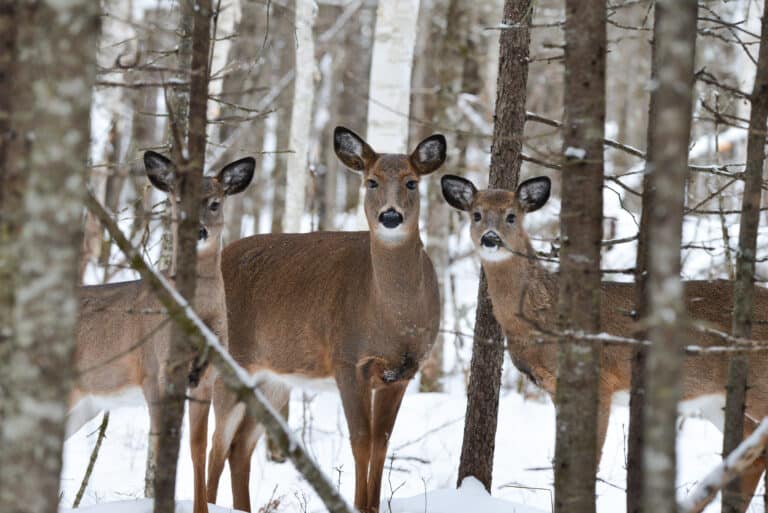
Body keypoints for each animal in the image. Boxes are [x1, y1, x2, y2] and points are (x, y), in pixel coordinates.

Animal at [68, 150, 255, 513]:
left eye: (215, 202)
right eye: (177, 199)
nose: (198, 231)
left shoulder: (206, 378)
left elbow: (197, 448)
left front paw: (200, 508)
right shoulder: (155, 372)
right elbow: (160, 448)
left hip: (85, 402)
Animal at [204, 127, 445, 513]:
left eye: (411, 182)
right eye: (371, 181)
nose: (390, 217)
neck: (392, 318)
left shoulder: (402, 373)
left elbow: (381, 443)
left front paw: (372, 506)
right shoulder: (348, 359)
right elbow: (361, 441)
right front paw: (357, 505)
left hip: (273, 378)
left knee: (239, 448)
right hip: (228, 362)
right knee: (217, 444)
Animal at [441, 174, 768, 512]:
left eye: (511, 216)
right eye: (476, 214)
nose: (490, 239)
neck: (542, 318)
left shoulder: (601, 379)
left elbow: (587, 463)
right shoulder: (555, 388)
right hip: (717, 400)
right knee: (753, 453)